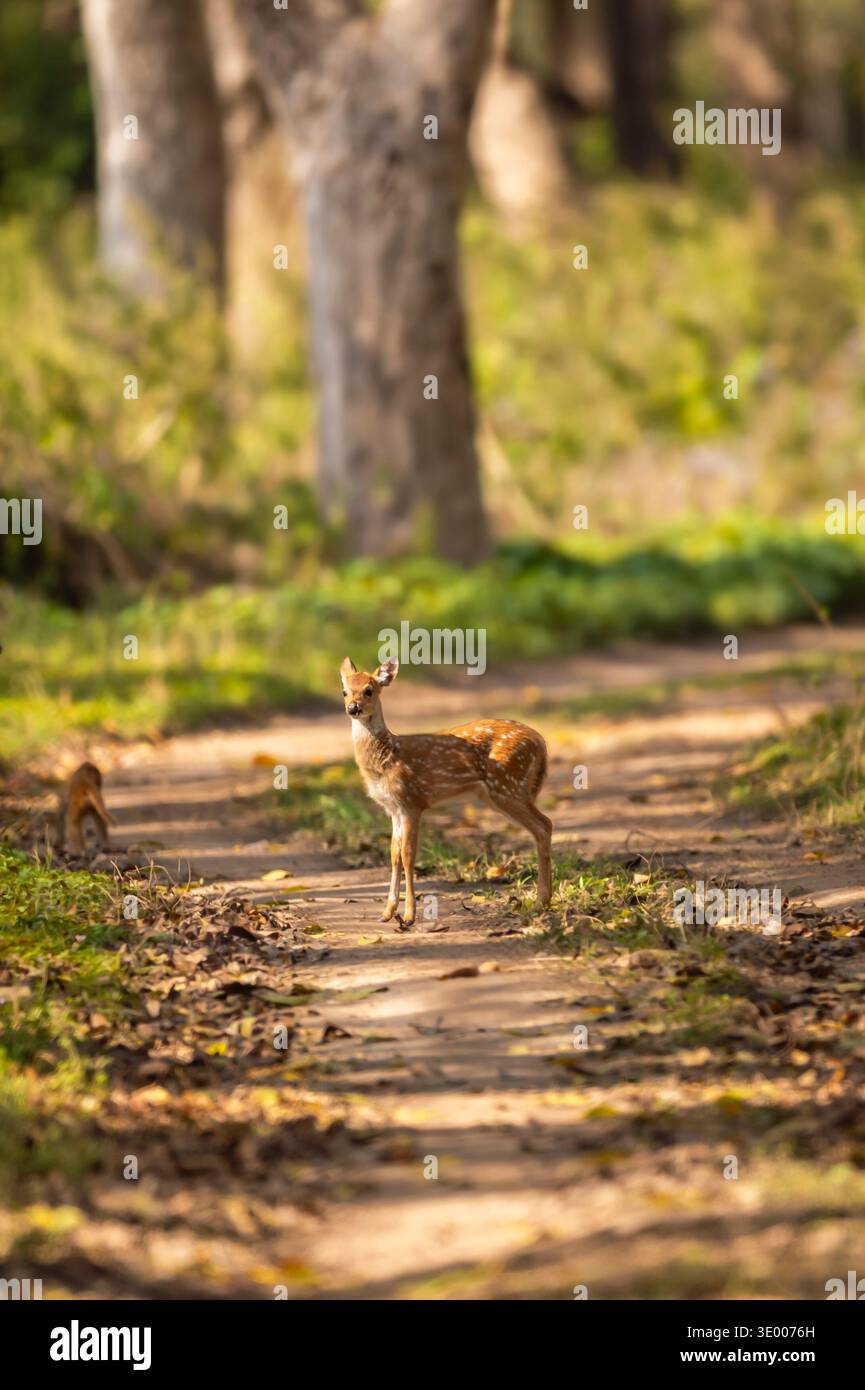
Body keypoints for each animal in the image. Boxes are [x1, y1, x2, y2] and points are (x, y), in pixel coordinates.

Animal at [340, 656, 553, 926]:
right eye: (344, 691)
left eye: (369, 690)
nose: (353, 708)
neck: (386, 757)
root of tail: (541, 743)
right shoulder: (393, 809)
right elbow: (394, 854)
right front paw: (387, 913)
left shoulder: (412, 801)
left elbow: (409, 854)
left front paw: (409, 916)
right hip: (504, 791)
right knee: (543, 826)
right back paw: (543, 901)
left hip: (507, 785)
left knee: (544, 825)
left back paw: (540, 902)